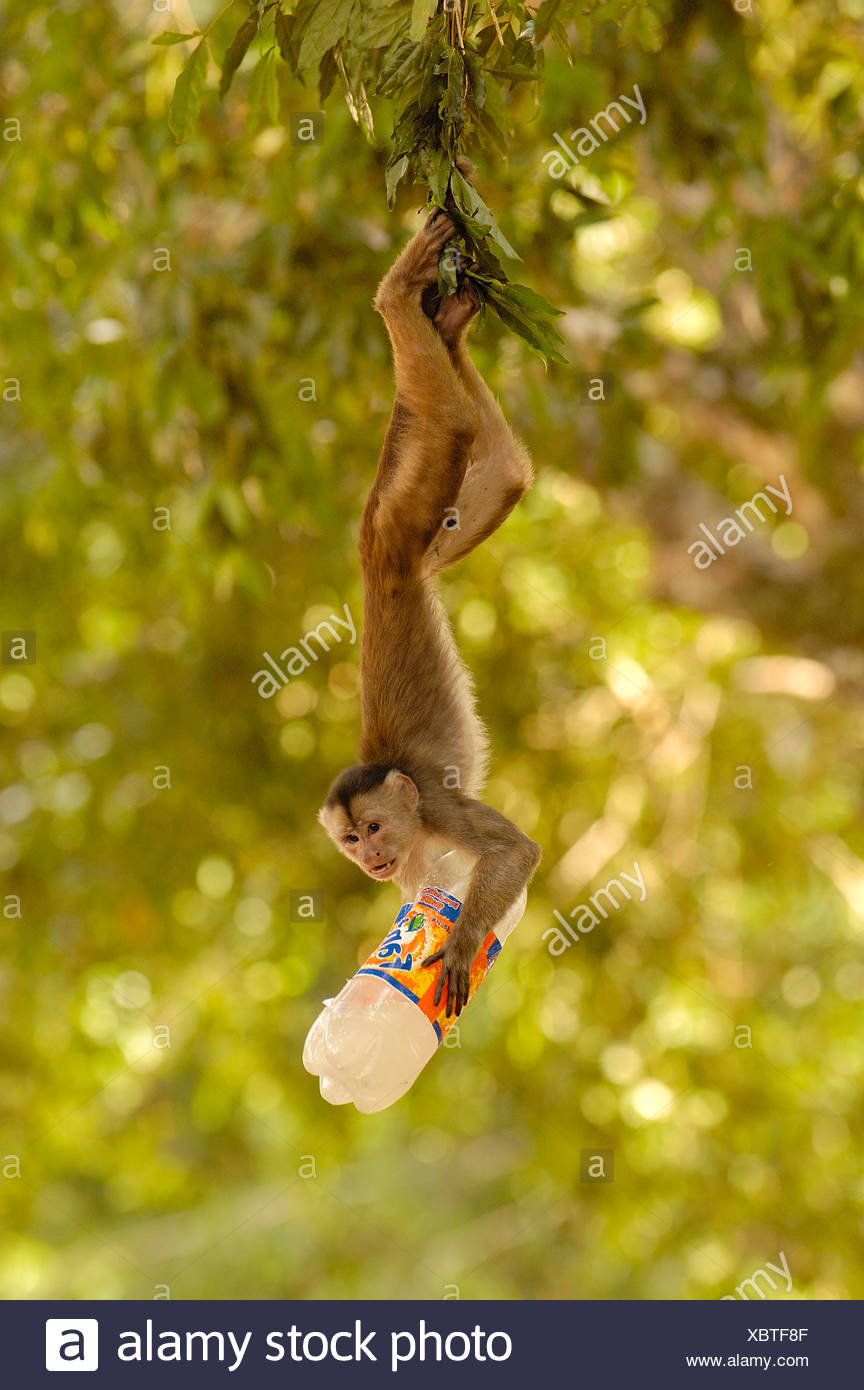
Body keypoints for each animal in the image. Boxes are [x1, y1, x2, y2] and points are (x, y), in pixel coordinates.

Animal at [318, 203, 541, 1018]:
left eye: (375, 827)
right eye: (353, 842)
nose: (371, 858)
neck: (412, 834)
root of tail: (379, 566)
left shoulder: (438, 815)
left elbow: (515, 852)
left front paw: (460, 942)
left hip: (399, 522)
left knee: (447, 424)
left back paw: (397, 299)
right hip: (423, 545)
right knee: (500, 468)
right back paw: (447, 325)